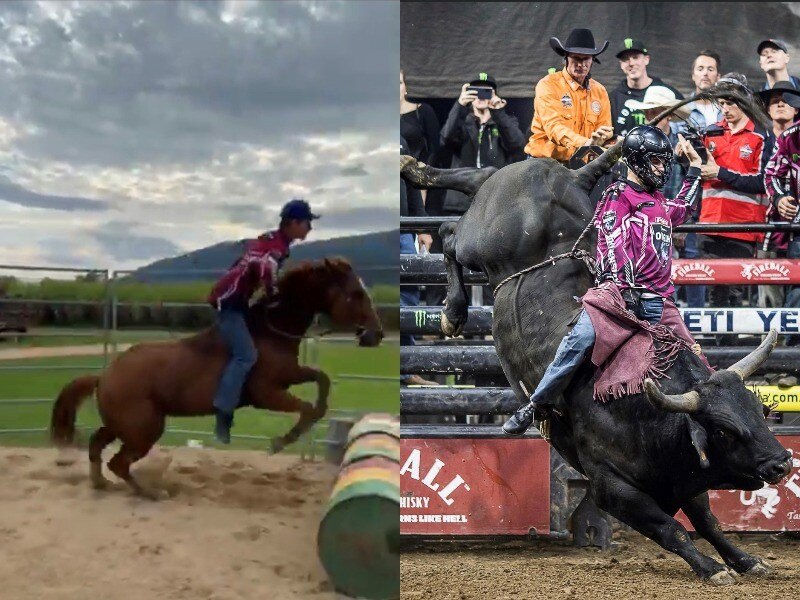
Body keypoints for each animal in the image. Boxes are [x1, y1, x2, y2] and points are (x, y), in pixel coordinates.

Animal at [400, 91, 794, 584]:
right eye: (723, 429)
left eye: (759, 411)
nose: (783, 462)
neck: (645, 409)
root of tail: (565, 172)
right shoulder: (610, 486)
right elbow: (671, 530)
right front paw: (711, 568)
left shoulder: (684, 478)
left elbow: (707, 521)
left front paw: (744, 559)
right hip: (484, 239)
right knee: (450, 235)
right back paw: (452, 312)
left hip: (492, 204)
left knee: (475, 182)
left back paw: (414, 168)